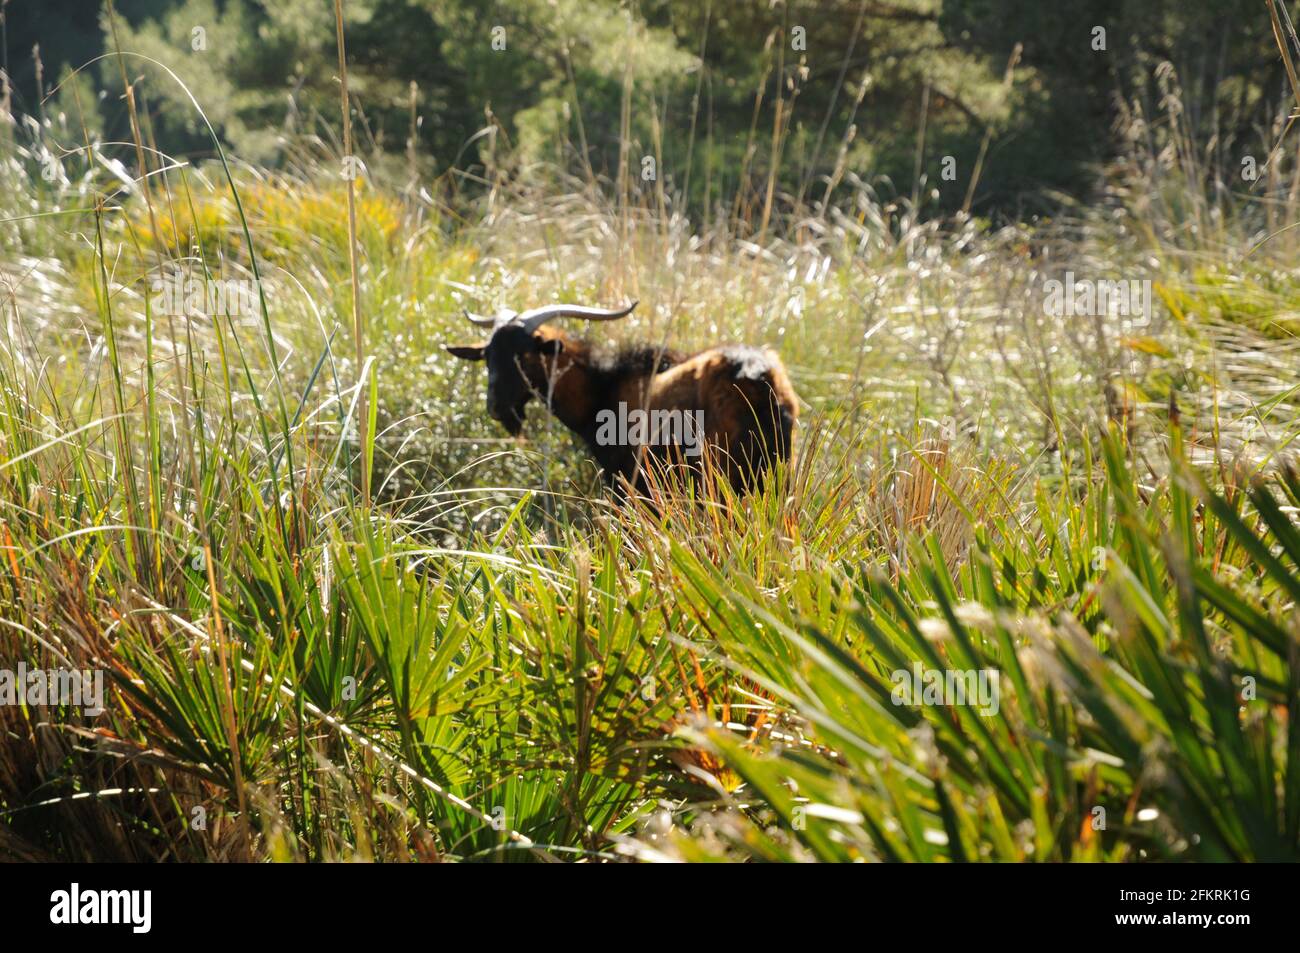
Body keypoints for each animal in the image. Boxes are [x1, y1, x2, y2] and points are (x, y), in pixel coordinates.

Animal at [445, 301, 798, 495]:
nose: (496, 406)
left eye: (525, 355)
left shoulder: (628, 481)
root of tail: (755, 374)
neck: (605, 386)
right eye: (488, 355)